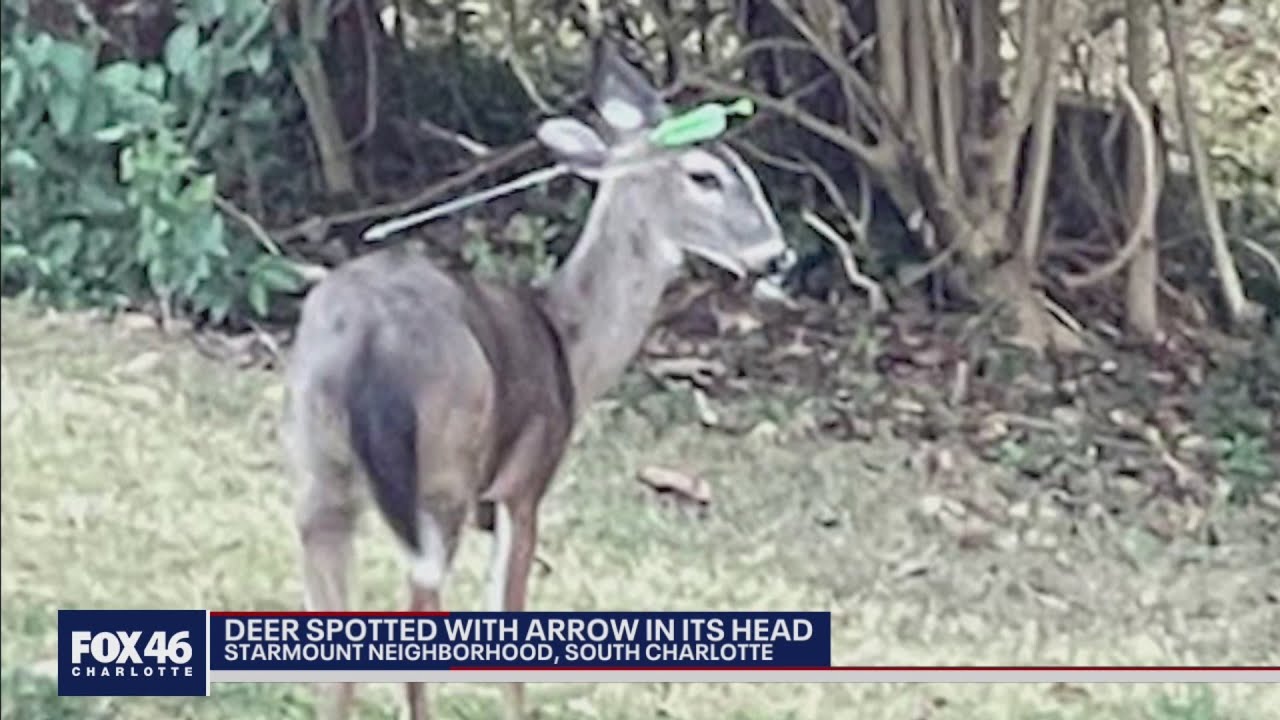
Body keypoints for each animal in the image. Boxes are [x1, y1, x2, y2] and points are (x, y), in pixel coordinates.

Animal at [280, 40, 790, 720]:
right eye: (704, 175)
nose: (778, 255)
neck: (568, 343)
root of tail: (369, 341)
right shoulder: (524, 484)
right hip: (444, 464)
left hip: (319, 462)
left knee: (335, 654)